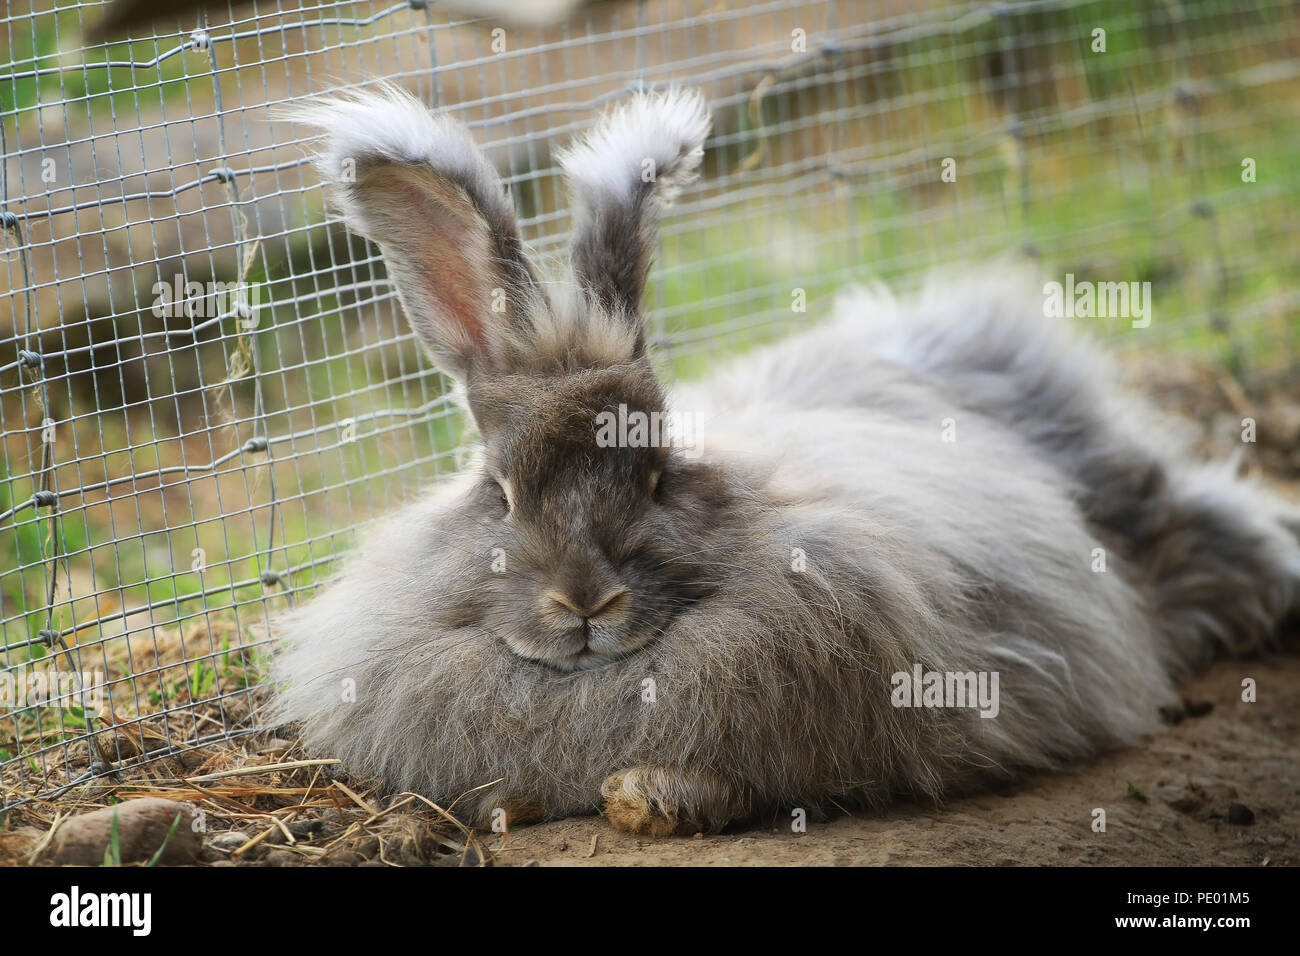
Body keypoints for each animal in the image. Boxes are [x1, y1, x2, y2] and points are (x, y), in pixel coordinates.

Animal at [273, 83, 1300, 836]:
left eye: (659, 476)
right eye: (500, 491)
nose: (585, 604)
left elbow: (741, 782)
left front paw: (646, 799)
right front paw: (509, 804)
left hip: (1141, 506)